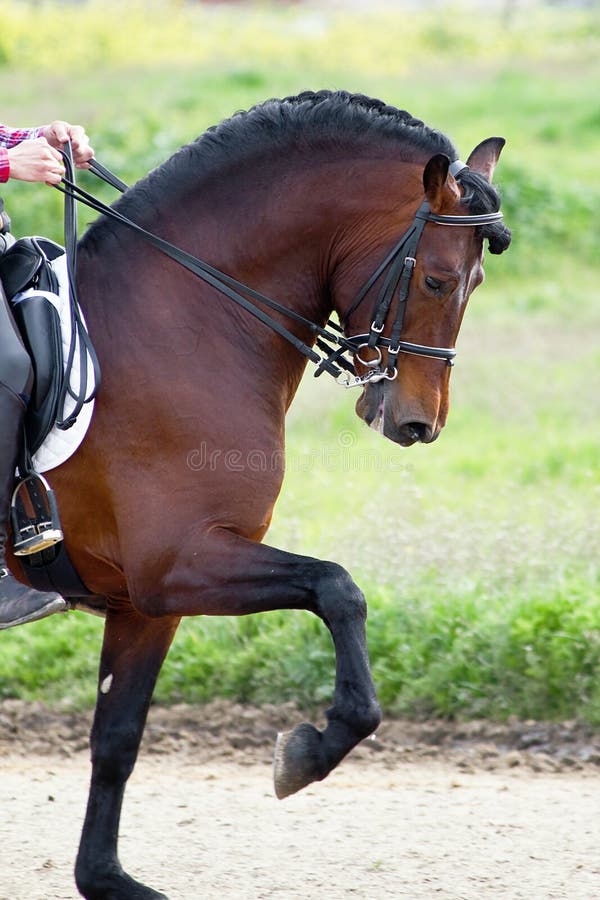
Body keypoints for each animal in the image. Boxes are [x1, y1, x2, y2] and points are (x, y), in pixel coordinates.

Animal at [8, 90, 511, 899]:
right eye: (436, 279)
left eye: (475, 286)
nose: (418, 423)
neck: (185, 318)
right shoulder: (181, 562)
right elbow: (338, 588)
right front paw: (309, 752)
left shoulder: (145, 599)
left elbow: (117, 737)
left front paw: (106, 878)